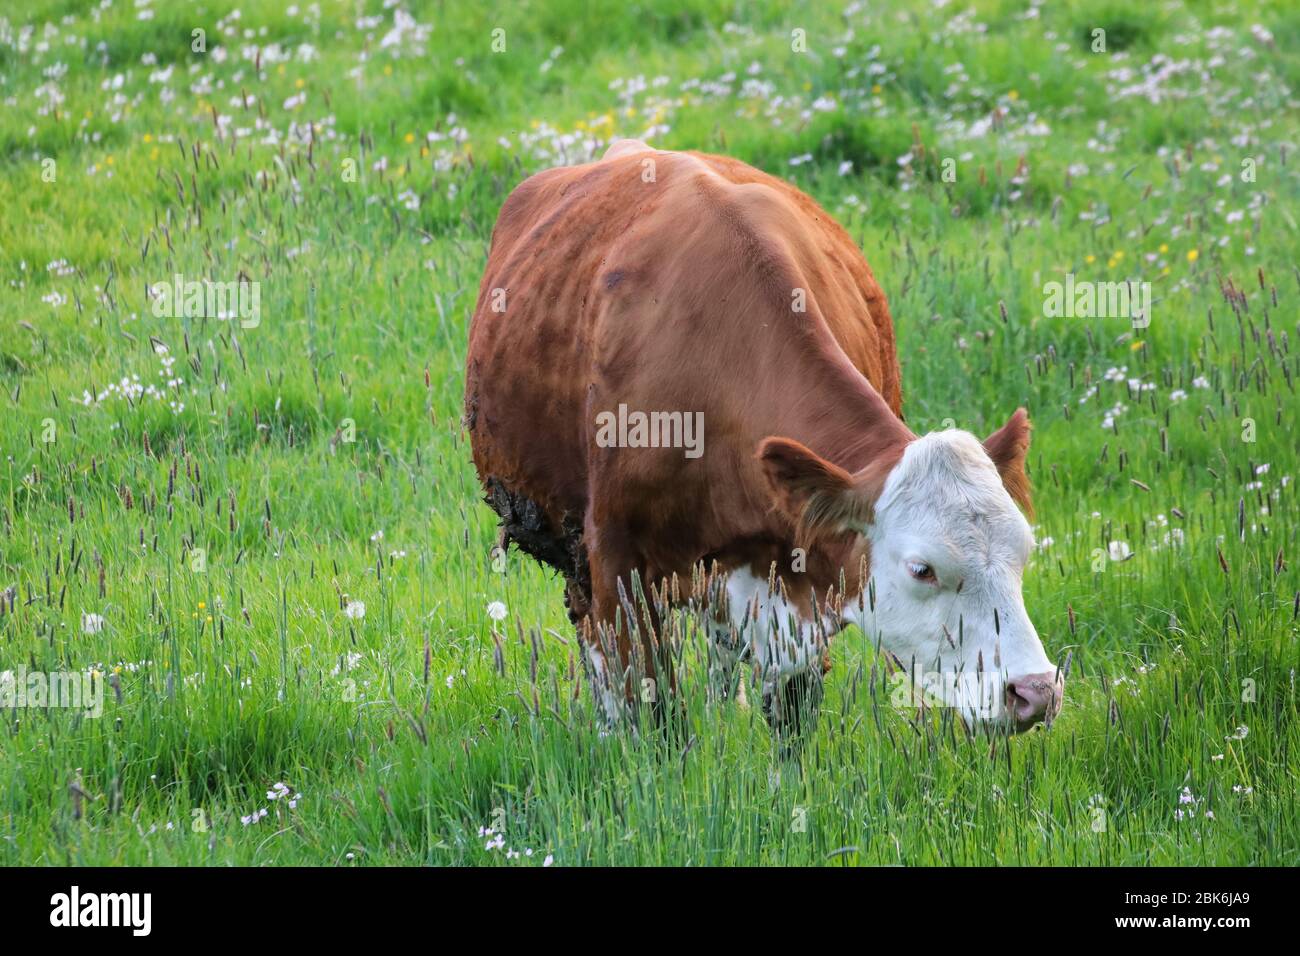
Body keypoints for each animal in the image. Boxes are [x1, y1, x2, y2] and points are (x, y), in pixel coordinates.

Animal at [465, 139, 1063, 741]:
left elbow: (791, 713)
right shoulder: (616, 565)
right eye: (923, 569)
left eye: (1023, 552)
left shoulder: (803, 580)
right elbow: (651, 713)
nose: (1035, 691)